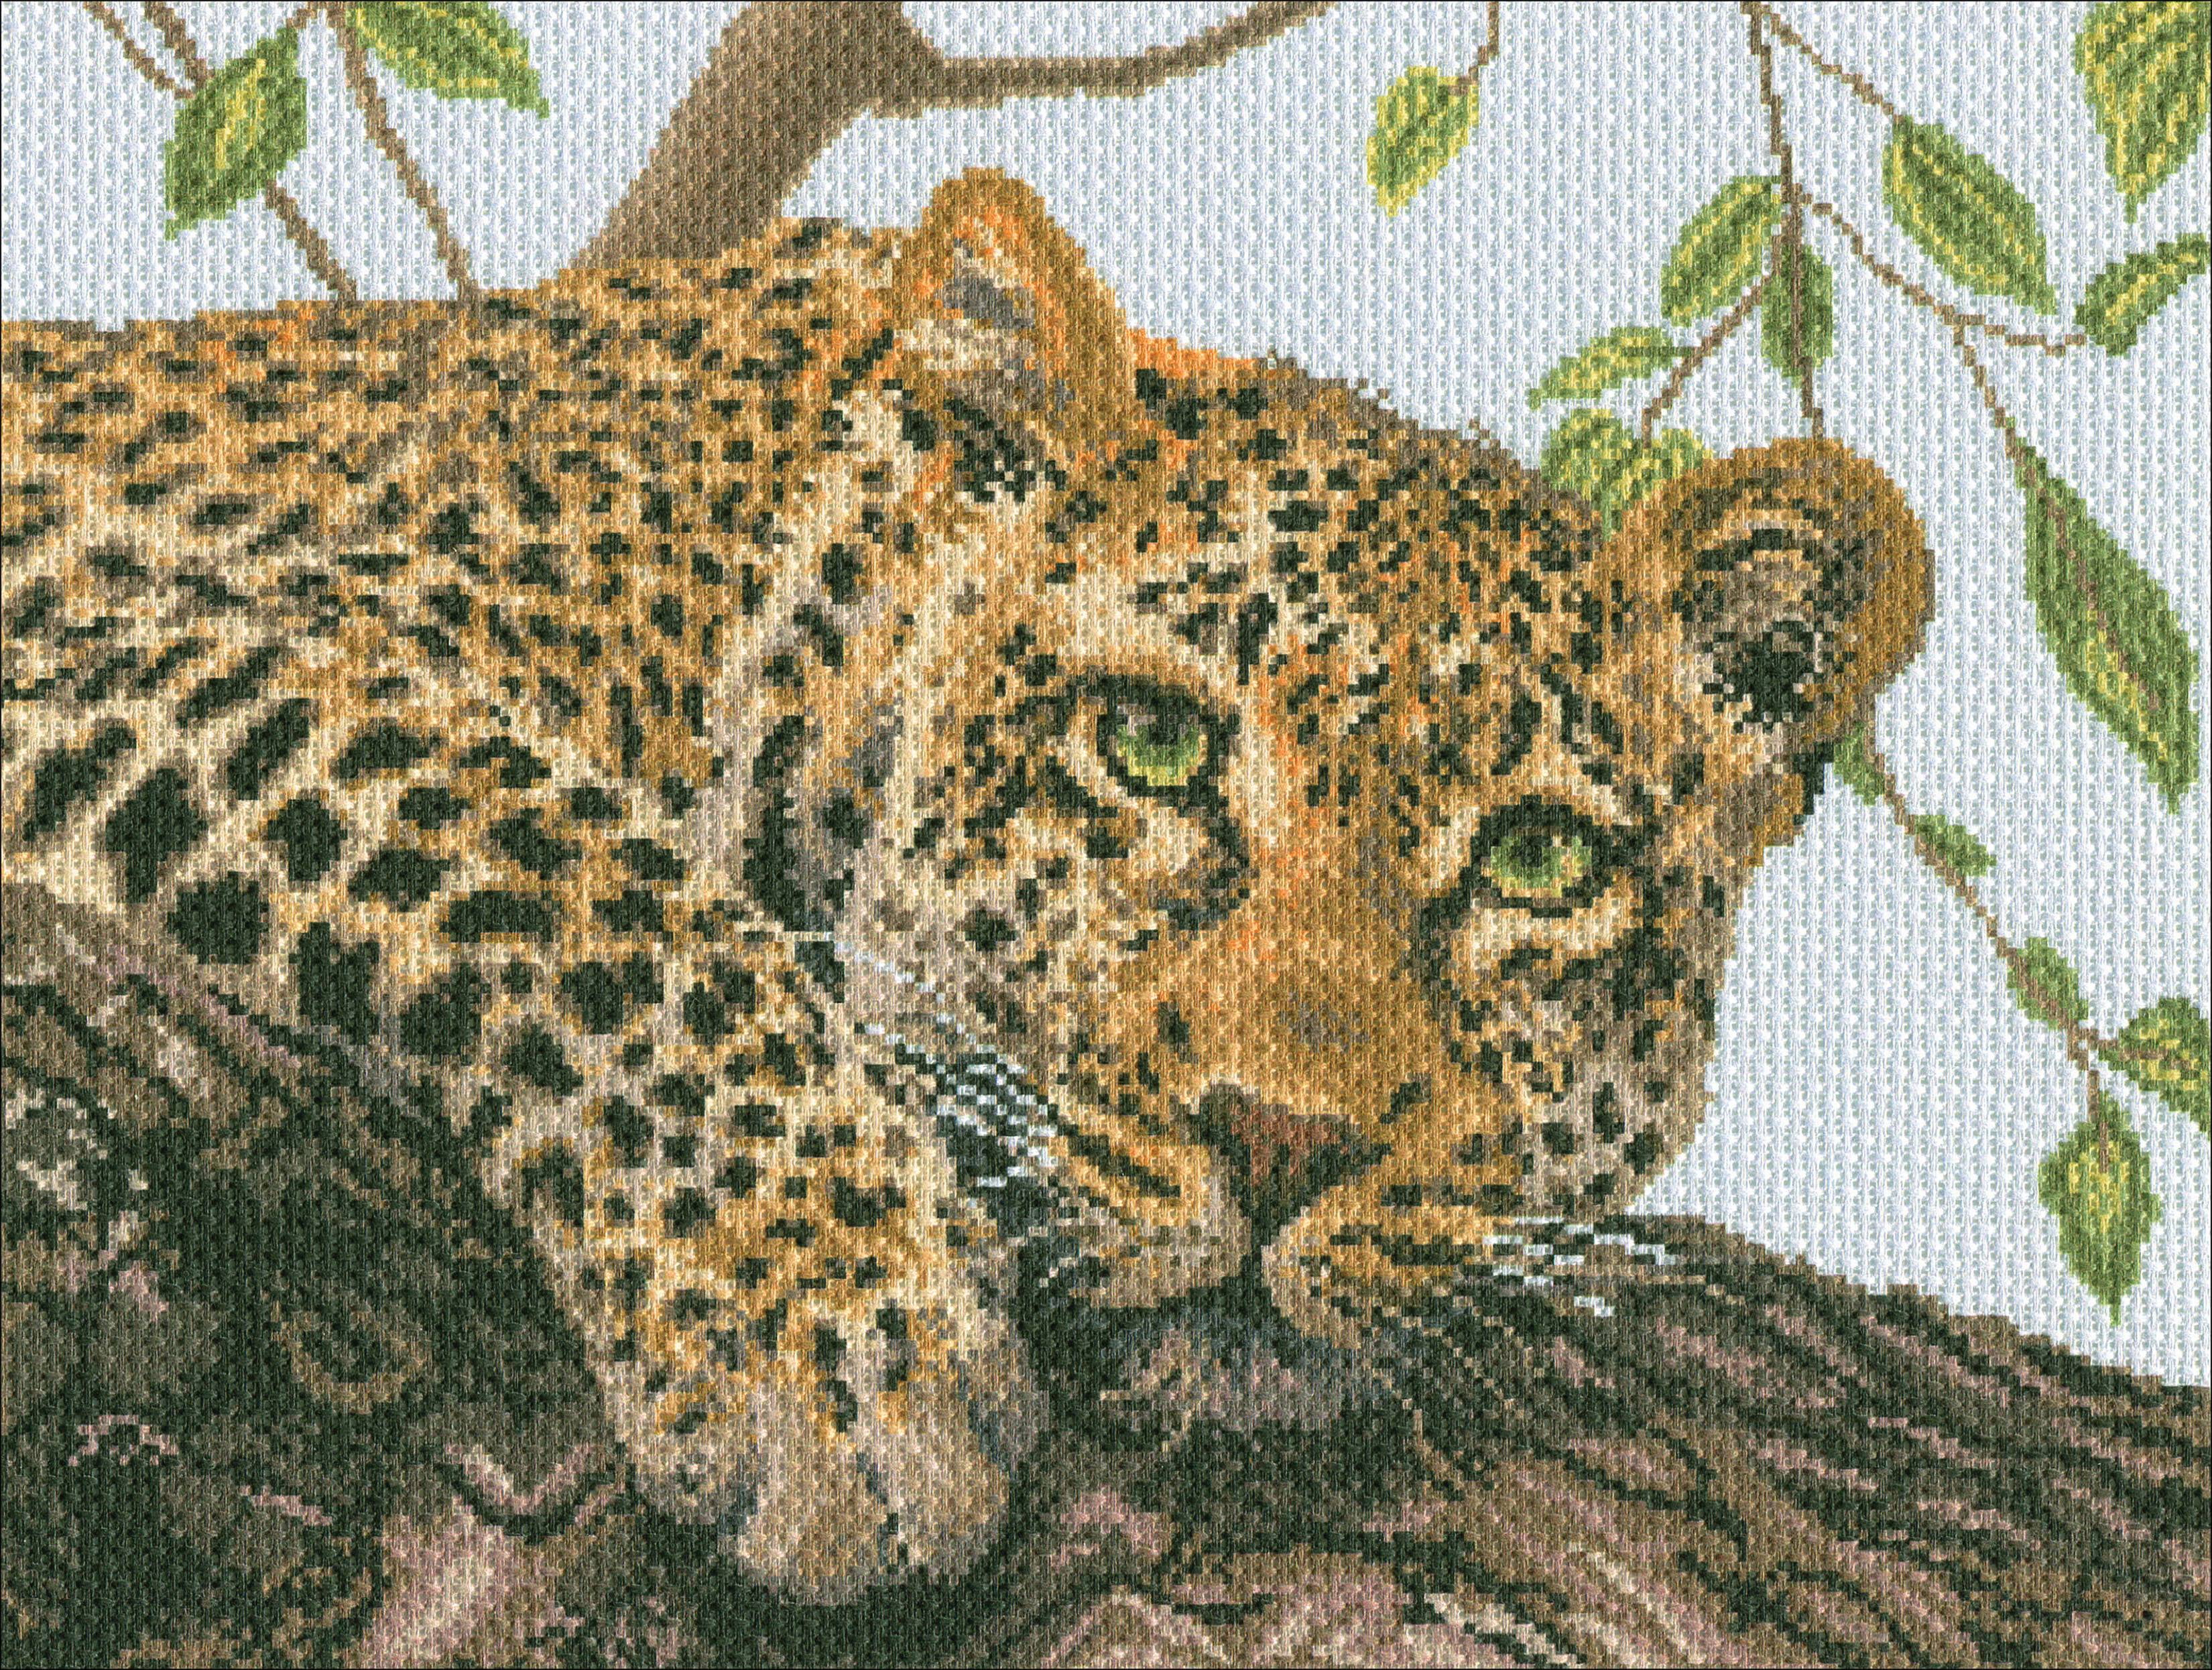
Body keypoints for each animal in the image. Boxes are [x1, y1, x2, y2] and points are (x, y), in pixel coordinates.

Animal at [1, 169, 1931, 1602]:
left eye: (1539, 858)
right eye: (1148, 746)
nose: (1284, 1145)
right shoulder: (103, 646)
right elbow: (546, 849)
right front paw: (839, 1358)